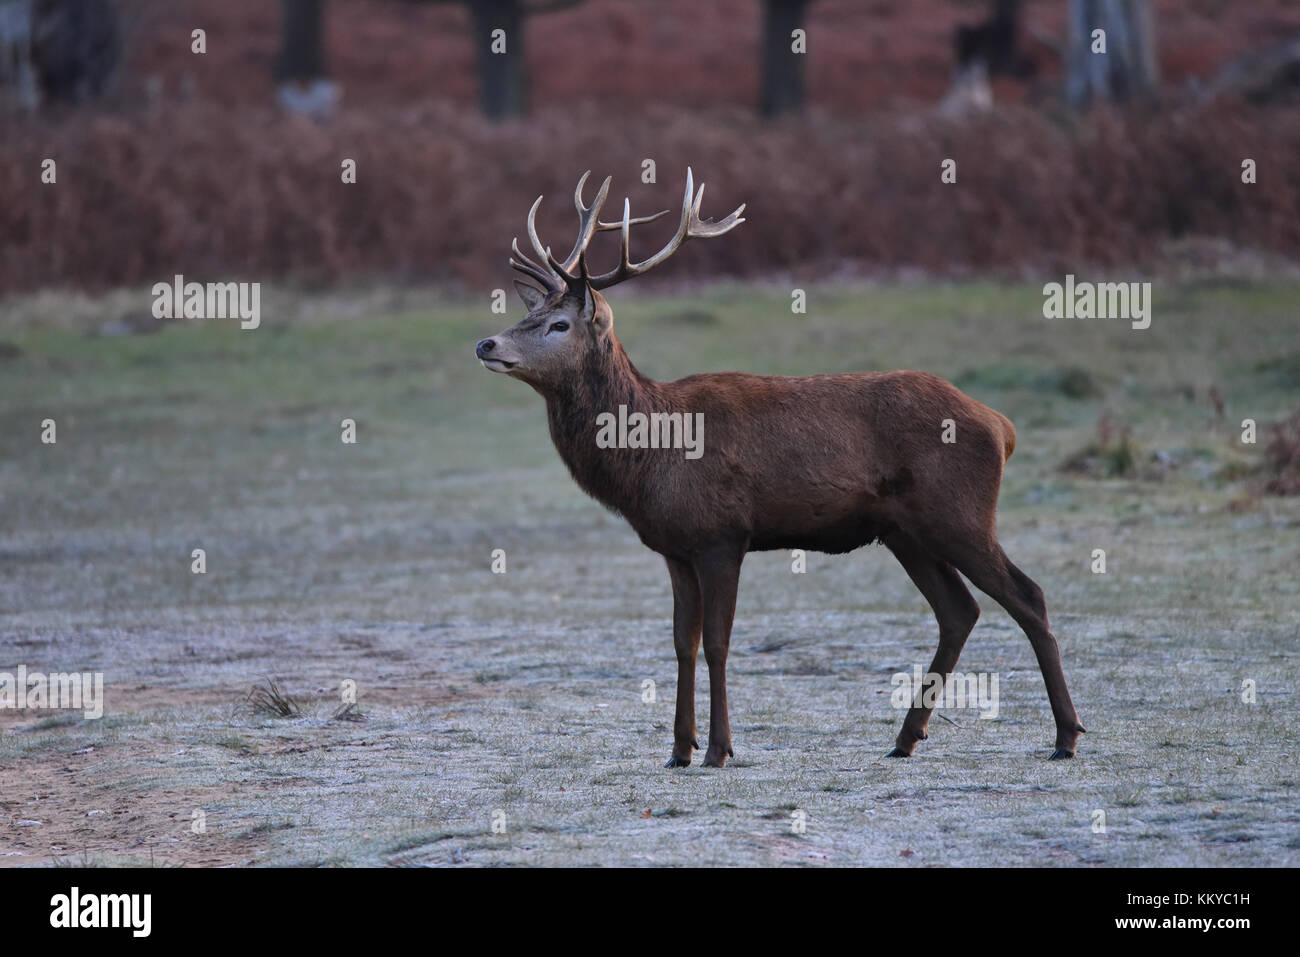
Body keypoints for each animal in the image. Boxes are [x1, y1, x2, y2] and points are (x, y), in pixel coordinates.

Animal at [475, 169, 1085, 768]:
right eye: (528, 313)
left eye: (558, 324)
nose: (486, 343)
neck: (651, 455)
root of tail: (1002, 426)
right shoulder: (675, 547)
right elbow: (682, 642)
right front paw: (678, 749)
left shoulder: (723, 534)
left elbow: (718, 642)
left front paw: (718, 749)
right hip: (905, 530)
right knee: (959, 610)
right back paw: (907, 737)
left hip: (958, 511)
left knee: (1028, 595)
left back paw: (1065, 736)